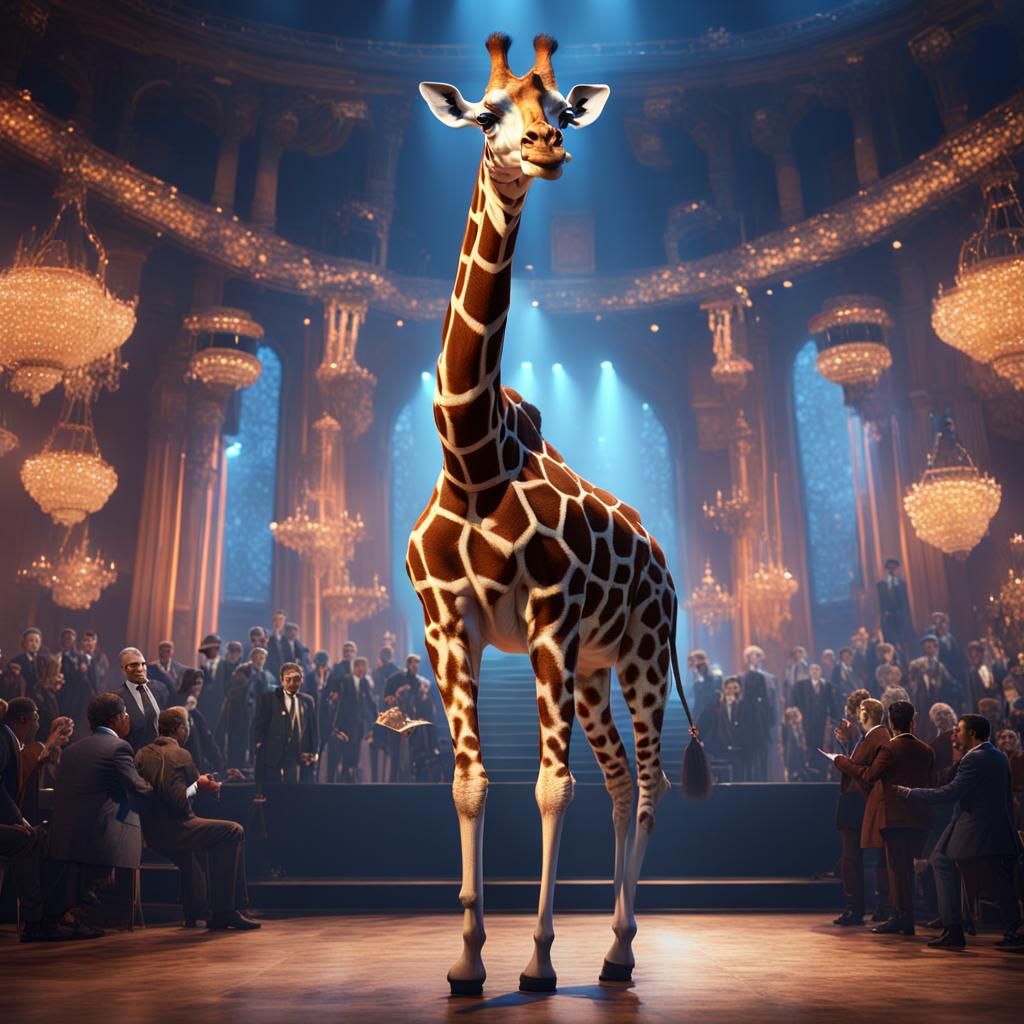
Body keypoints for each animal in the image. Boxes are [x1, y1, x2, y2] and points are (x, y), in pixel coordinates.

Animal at [408, 33, 709, 996]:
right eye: (487, 116)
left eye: (564, 112)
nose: (546, 149)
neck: (471, 458)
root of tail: (665, 565)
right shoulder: (446, 623)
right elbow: (472, 783)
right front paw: (468, 960)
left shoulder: (548, 620)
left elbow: (549, 786)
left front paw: (537, 963)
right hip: (593, 671)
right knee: (617, 778)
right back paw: (611, 944)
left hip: (639, 653)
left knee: (649, 780)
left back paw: (617, 949)